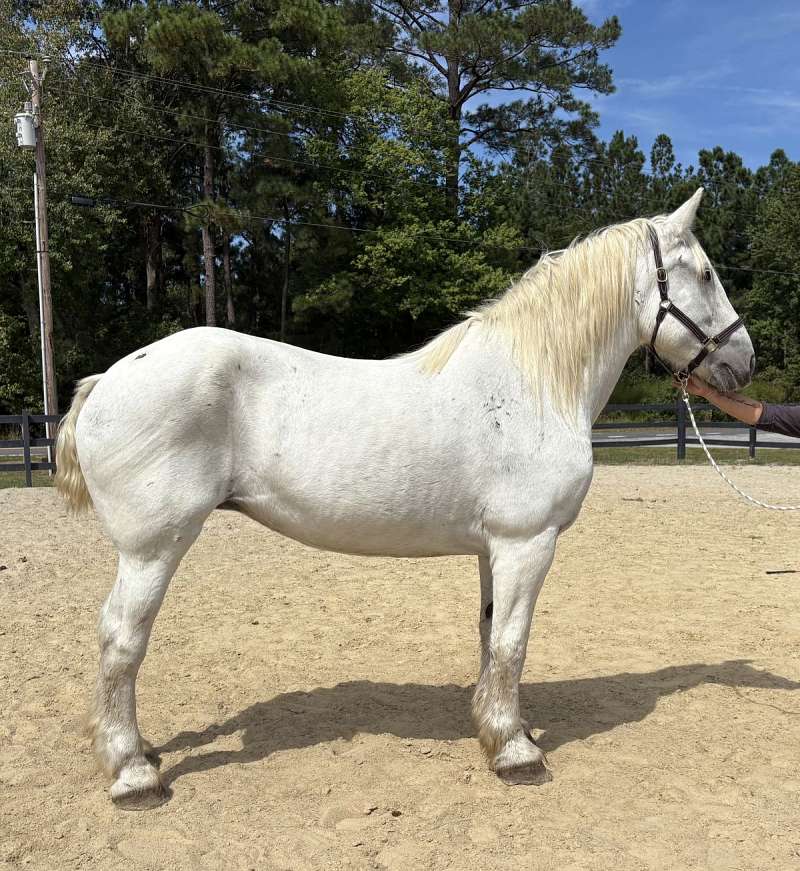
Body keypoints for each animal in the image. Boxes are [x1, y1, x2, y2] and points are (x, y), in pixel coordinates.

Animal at [55, 189, 755, 809]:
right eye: (706, 273)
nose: (744, 362)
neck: (532, 382)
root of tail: (108, 378)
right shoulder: (528, 542)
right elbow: (512, 643)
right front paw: (516, 754)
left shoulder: (495, 550)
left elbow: (490, 637)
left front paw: (499, 731)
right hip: (153, 548)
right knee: (122, 639)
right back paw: (133, 773)